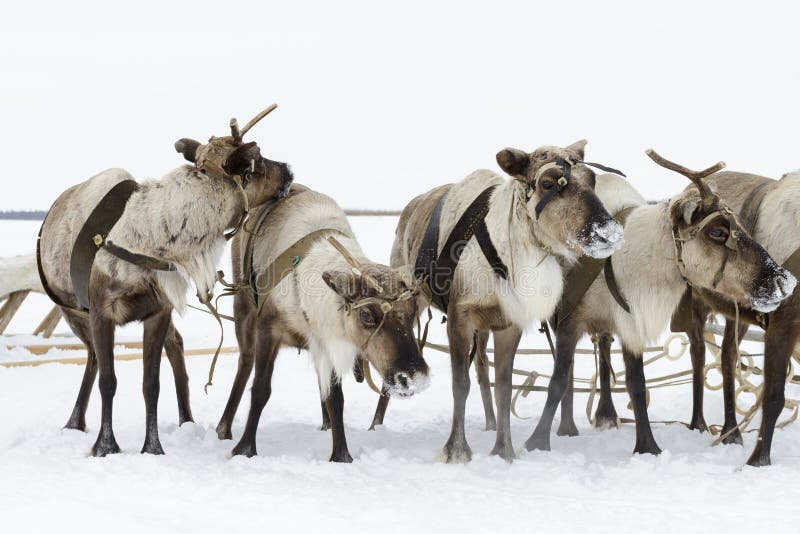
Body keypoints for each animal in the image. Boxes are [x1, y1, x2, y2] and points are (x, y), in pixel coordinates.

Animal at [37, 106, 293, 456]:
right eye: (258, 161)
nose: (289, 170)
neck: (158, 242)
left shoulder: (159, 310)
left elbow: (151, 384)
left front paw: (153, 447)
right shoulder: (101, 310)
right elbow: (109, 380)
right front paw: (105, 445)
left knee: (174, 346)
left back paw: (186, 419)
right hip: (71, 309)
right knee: (92, 359)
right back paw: (75, 422)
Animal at [215, 184, 430, 462]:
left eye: (413, 311)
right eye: (367, 315)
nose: (413, 376)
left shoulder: (326, 339)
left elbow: (334, 397)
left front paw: (341, 455)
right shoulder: (269, 329)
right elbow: (261, 390)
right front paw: (244, 449)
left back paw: (325, 425)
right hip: (243, 309)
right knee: (244, 364)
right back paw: (224, 428)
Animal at [529, 152, 796, 456]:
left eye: (740, 224)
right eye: (717, 232)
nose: (784, 280)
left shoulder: (632, 323)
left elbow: (636, 384)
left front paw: (647, 446)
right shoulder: (569, 319)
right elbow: (558, 380)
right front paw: (537, 441)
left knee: (606, 349)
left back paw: (606, 414)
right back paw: (571, 426)